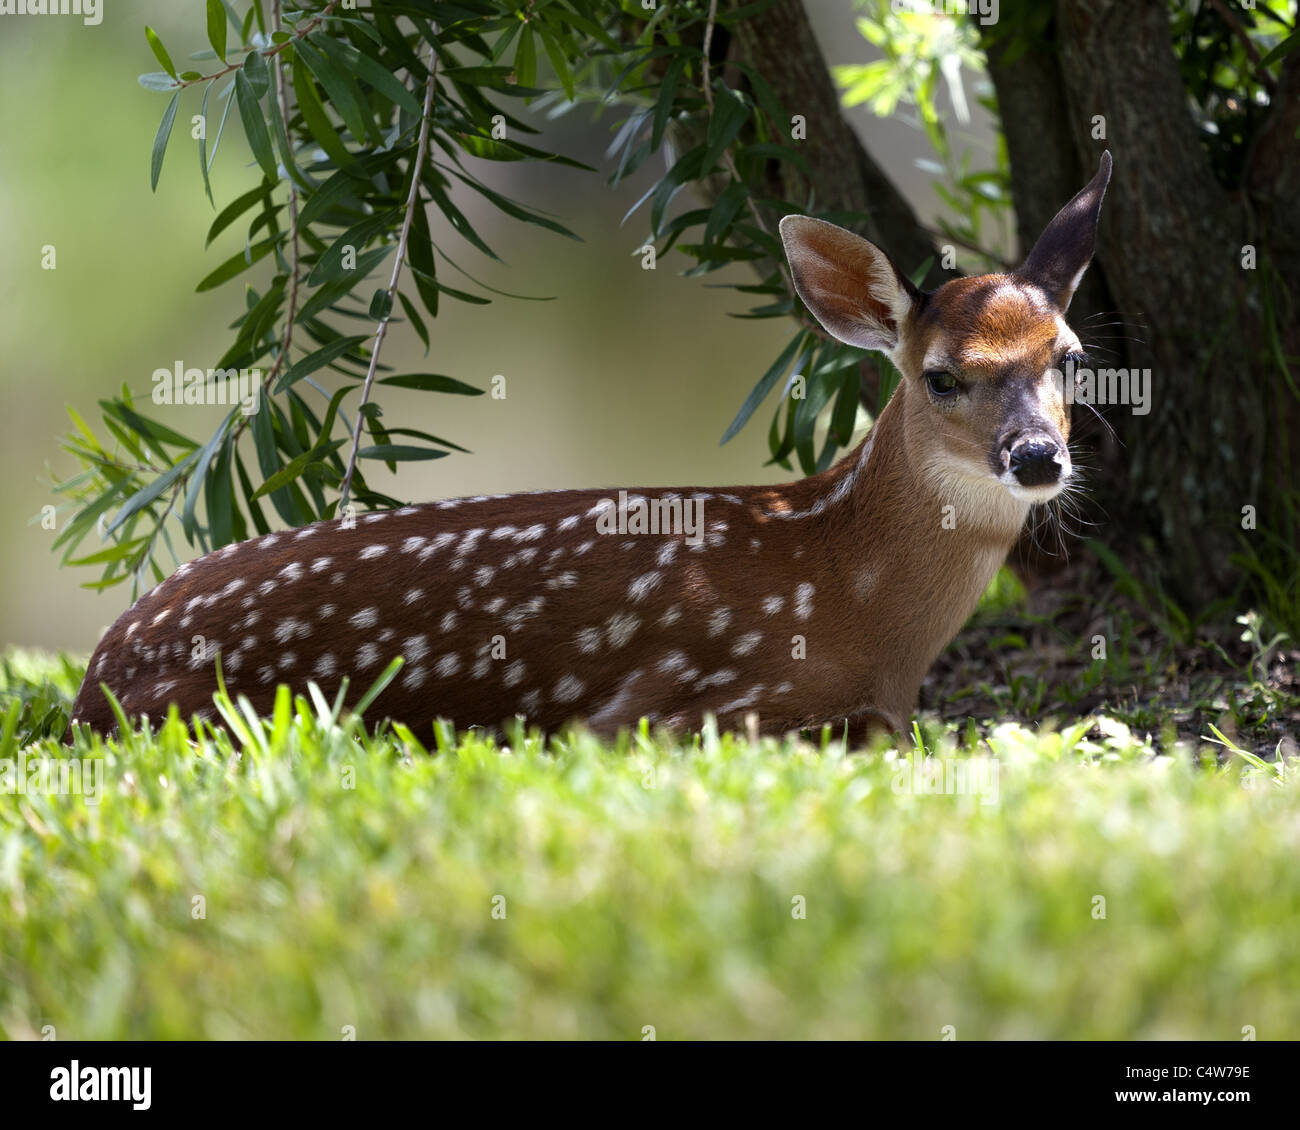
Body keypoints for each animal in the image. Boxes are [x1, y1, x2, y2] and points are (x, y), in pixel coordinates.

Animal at [69, 152, 1111, 744]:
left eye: (1069, 357)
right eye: (941, 377)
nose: (1036, 458)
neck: (853, 593)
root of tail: (90, 678)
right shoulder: (674, 703)